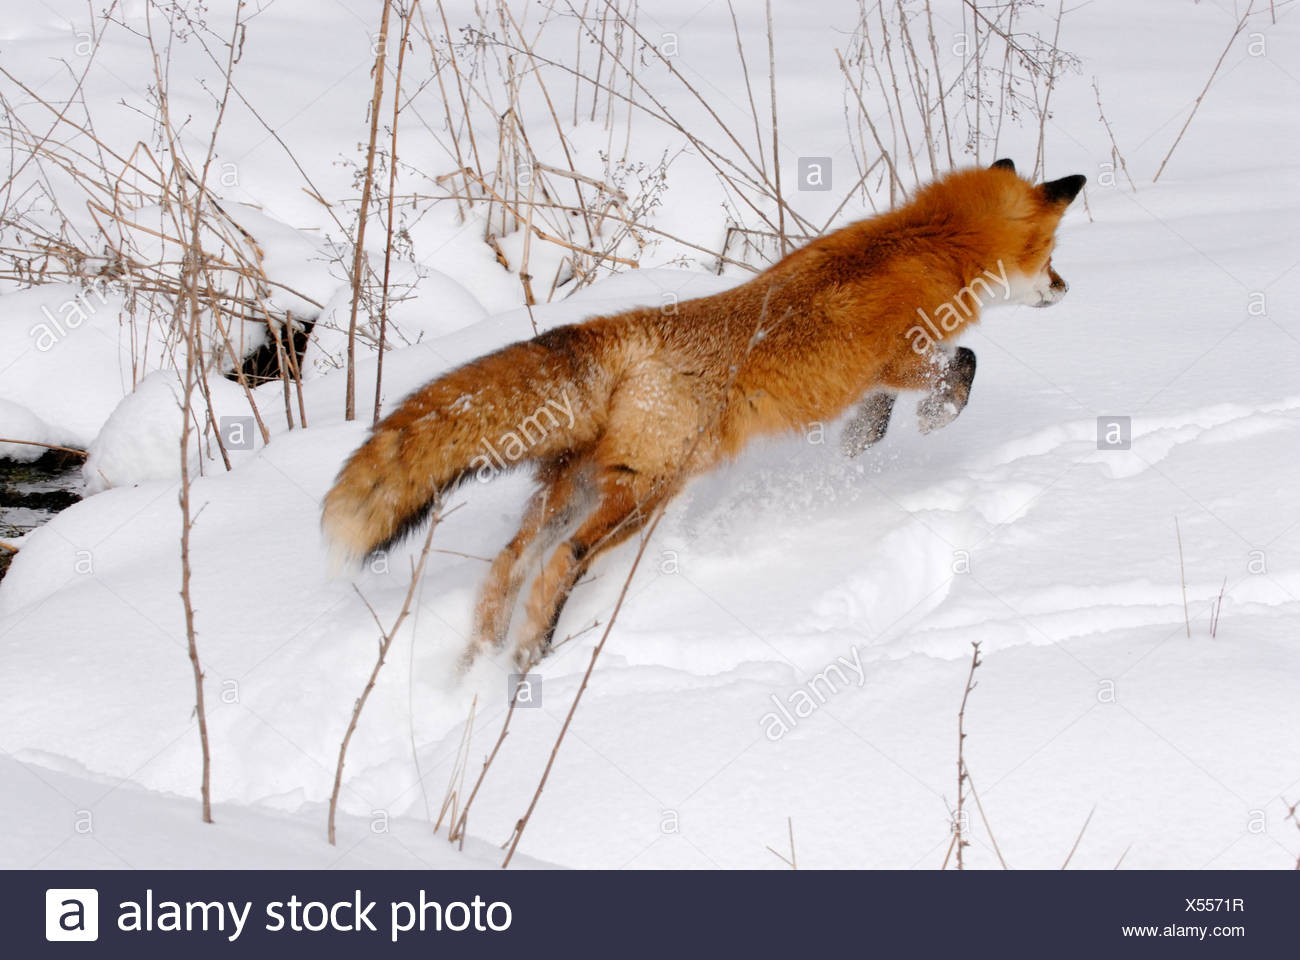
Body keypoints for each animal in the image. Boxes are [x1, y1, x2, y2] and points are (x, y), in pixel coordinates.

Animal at [322, 158, 1085, 670]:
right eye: (1053, 255)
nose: (1068, 288)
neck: (930, 243)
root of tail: (627, 327)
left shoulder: (875, 377)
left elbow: (875, 415)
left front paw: (862, 441)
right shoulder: (906, 357)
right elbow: (964, 367)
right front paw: (933, 418)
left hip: (576, 488)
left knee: (509, 563)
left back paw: (476, 667)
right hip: (644, 495)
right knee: (560, 561)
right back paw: (531, 655)